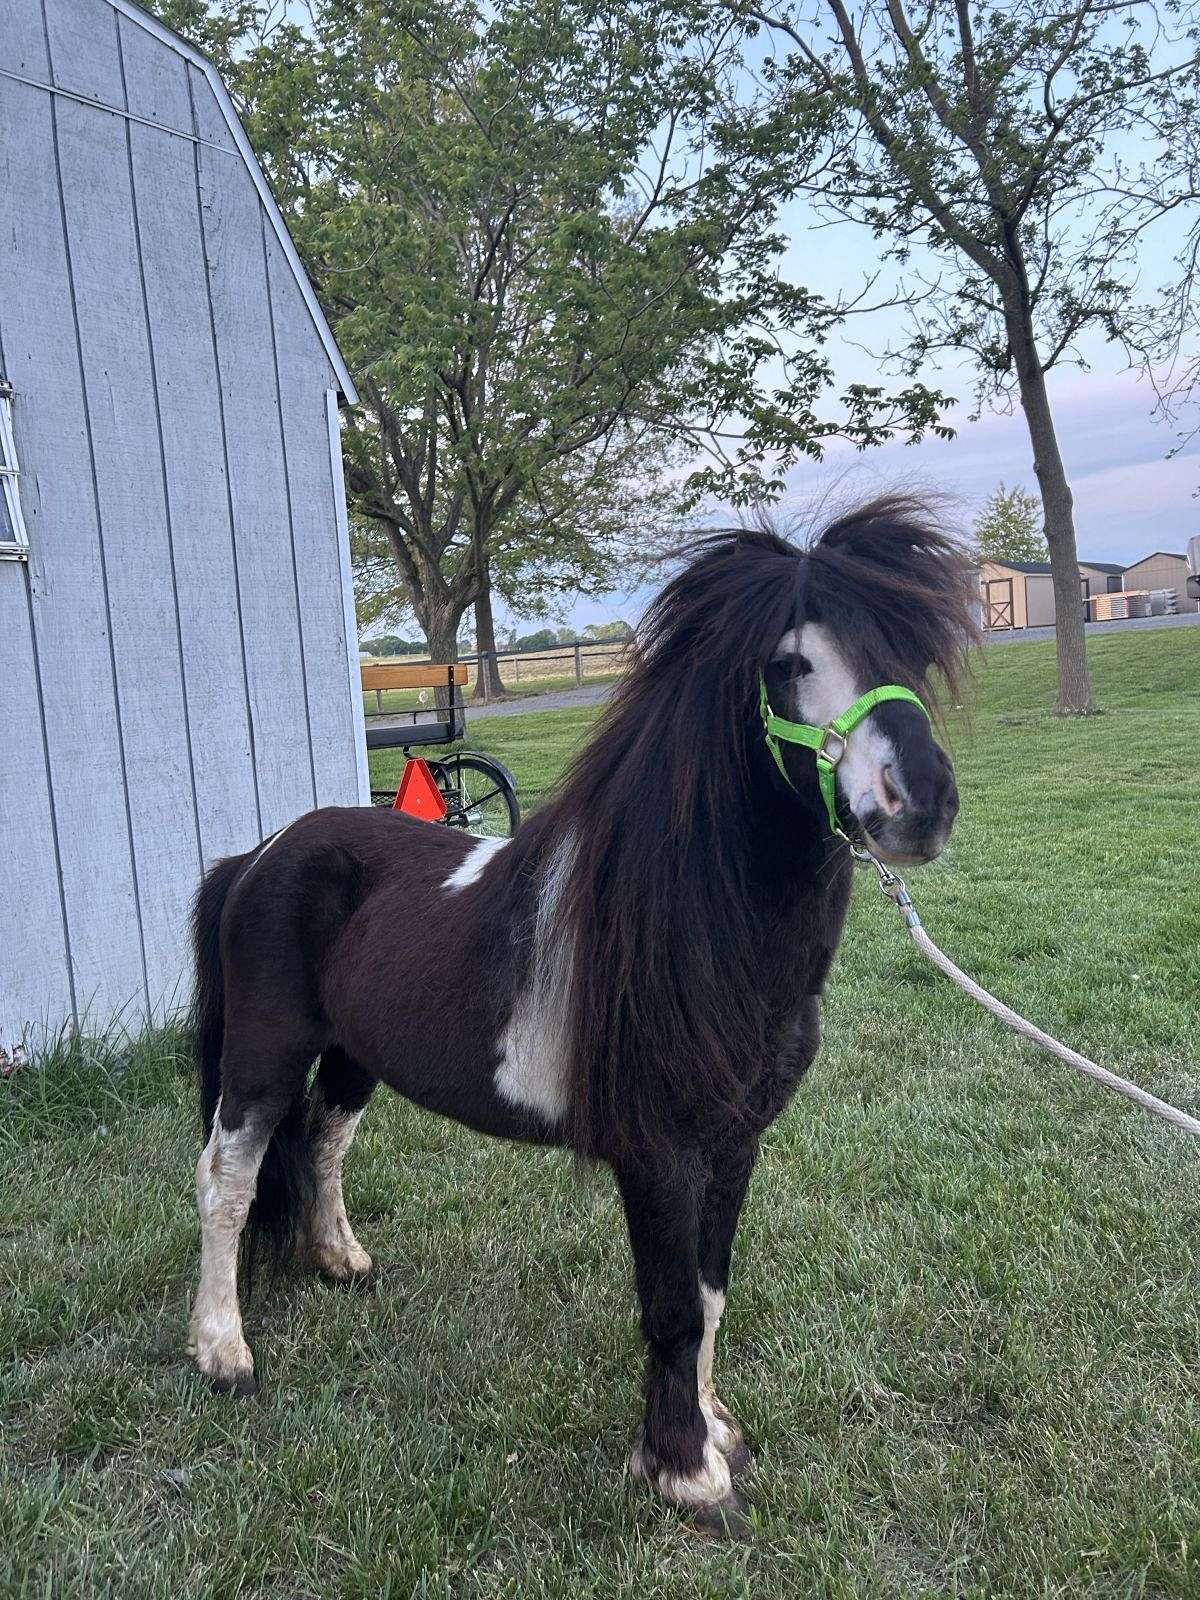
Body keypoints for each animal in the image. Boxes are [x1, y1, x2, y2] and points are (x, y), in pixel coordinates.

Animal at [186, 498, 975, 1536]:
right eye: (787, 663)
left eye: (913, 650)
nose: (918, 805)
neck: (693, 938)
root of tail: (262, 852)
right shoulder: (659, 1152)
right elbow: (672, 1305)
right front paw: (687, 1475)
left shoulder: (736, 1141)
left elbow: (710, 1295)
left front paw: (712, 1432)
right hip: (265, 1052)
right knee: (228, 1179)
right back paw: (223, 1353)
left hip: (353, 1054)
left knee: (322, 1141)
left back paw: (340, 1260)